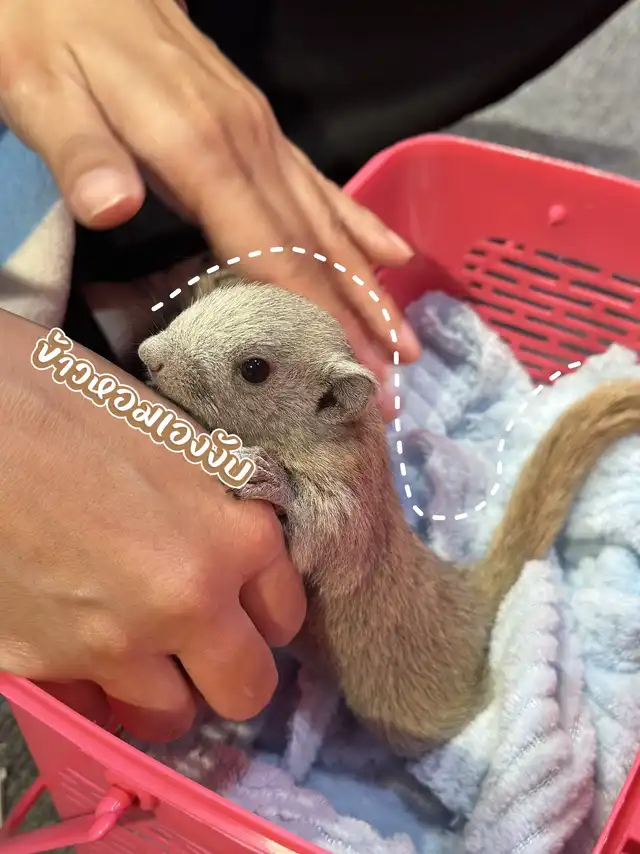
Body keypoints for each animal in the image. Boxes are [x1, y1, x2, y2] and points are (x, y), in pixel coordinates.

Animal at [138, 270, 640, 760]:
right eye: (199, 304)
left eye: (254, 369)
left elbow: (317, 538)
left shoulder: (350, 503)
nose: (148, 354)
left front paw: (271, 481)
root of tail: (469, 591)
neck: (327, 432)